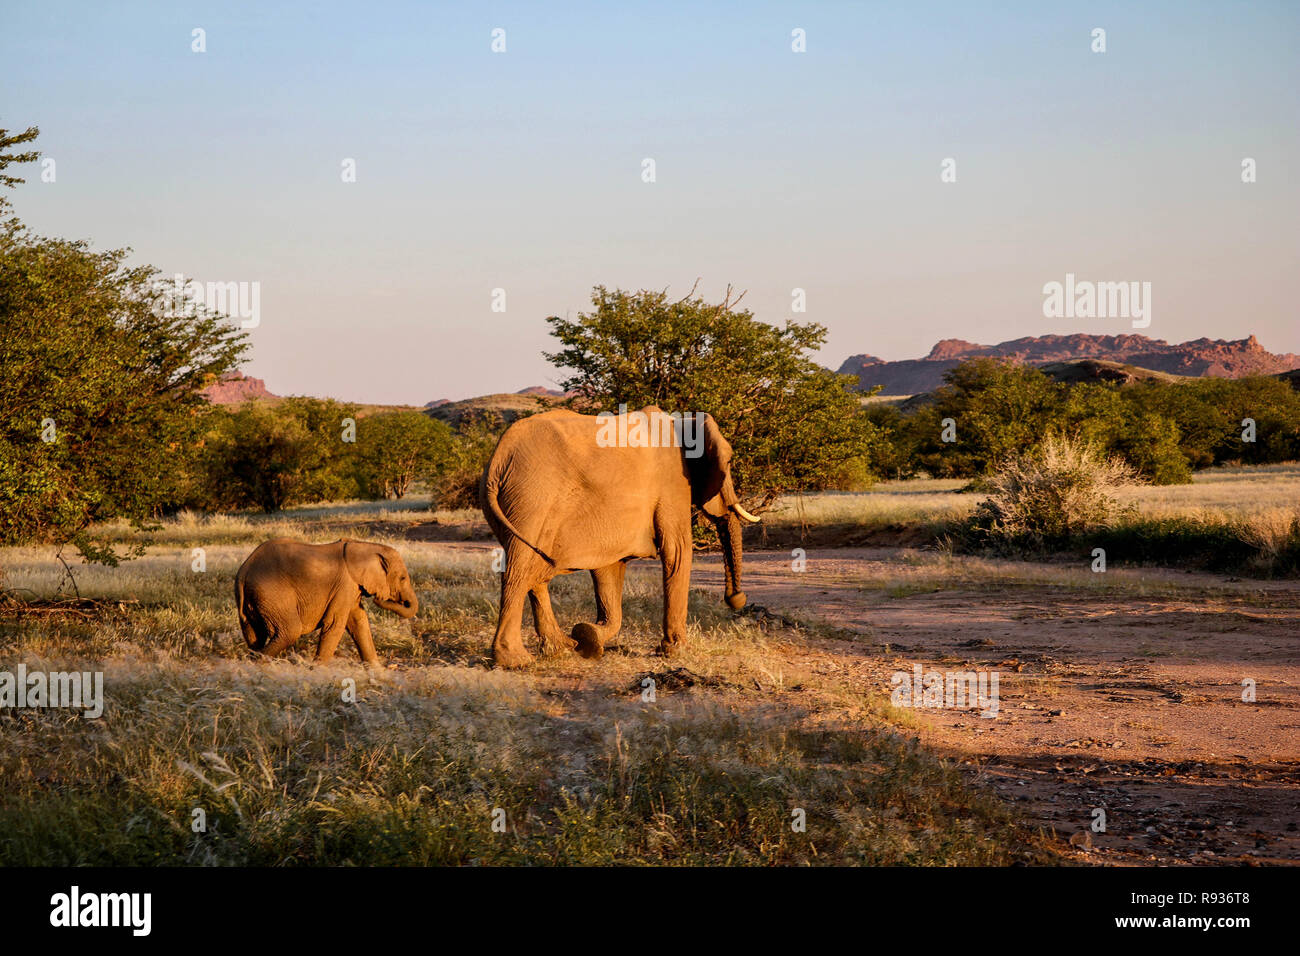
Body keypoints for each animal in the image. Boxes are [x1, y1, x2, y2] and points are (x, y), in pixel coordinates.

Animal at [234, 538, 418, 666]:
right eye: (402, 578)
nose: (379, 598)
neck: (364, 546)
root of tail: (244, 572)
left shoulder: (352, 588)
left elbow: (359, 623)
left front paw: (378, 675)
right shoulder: (345, 585)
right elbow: (335, 623)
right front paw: (317, 673)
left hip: (255, 600)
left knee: (255, 636)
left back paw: (251, 666)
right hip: (272, 593)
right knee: (289, 631)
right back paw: (260, 667)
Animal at [479, 406, 759, 668]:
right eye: (729, 463)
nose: (737, 599)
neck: (682, 421)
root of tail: (499, 458)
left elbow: (609, 570)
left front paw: (589, 638)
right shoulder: (673, 482)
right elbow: (677, 551)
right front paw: (677, 651)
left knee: (534, 572)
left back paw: (561, 649)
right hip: (532, 498)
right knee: (519, 572)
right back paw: (516, 660)